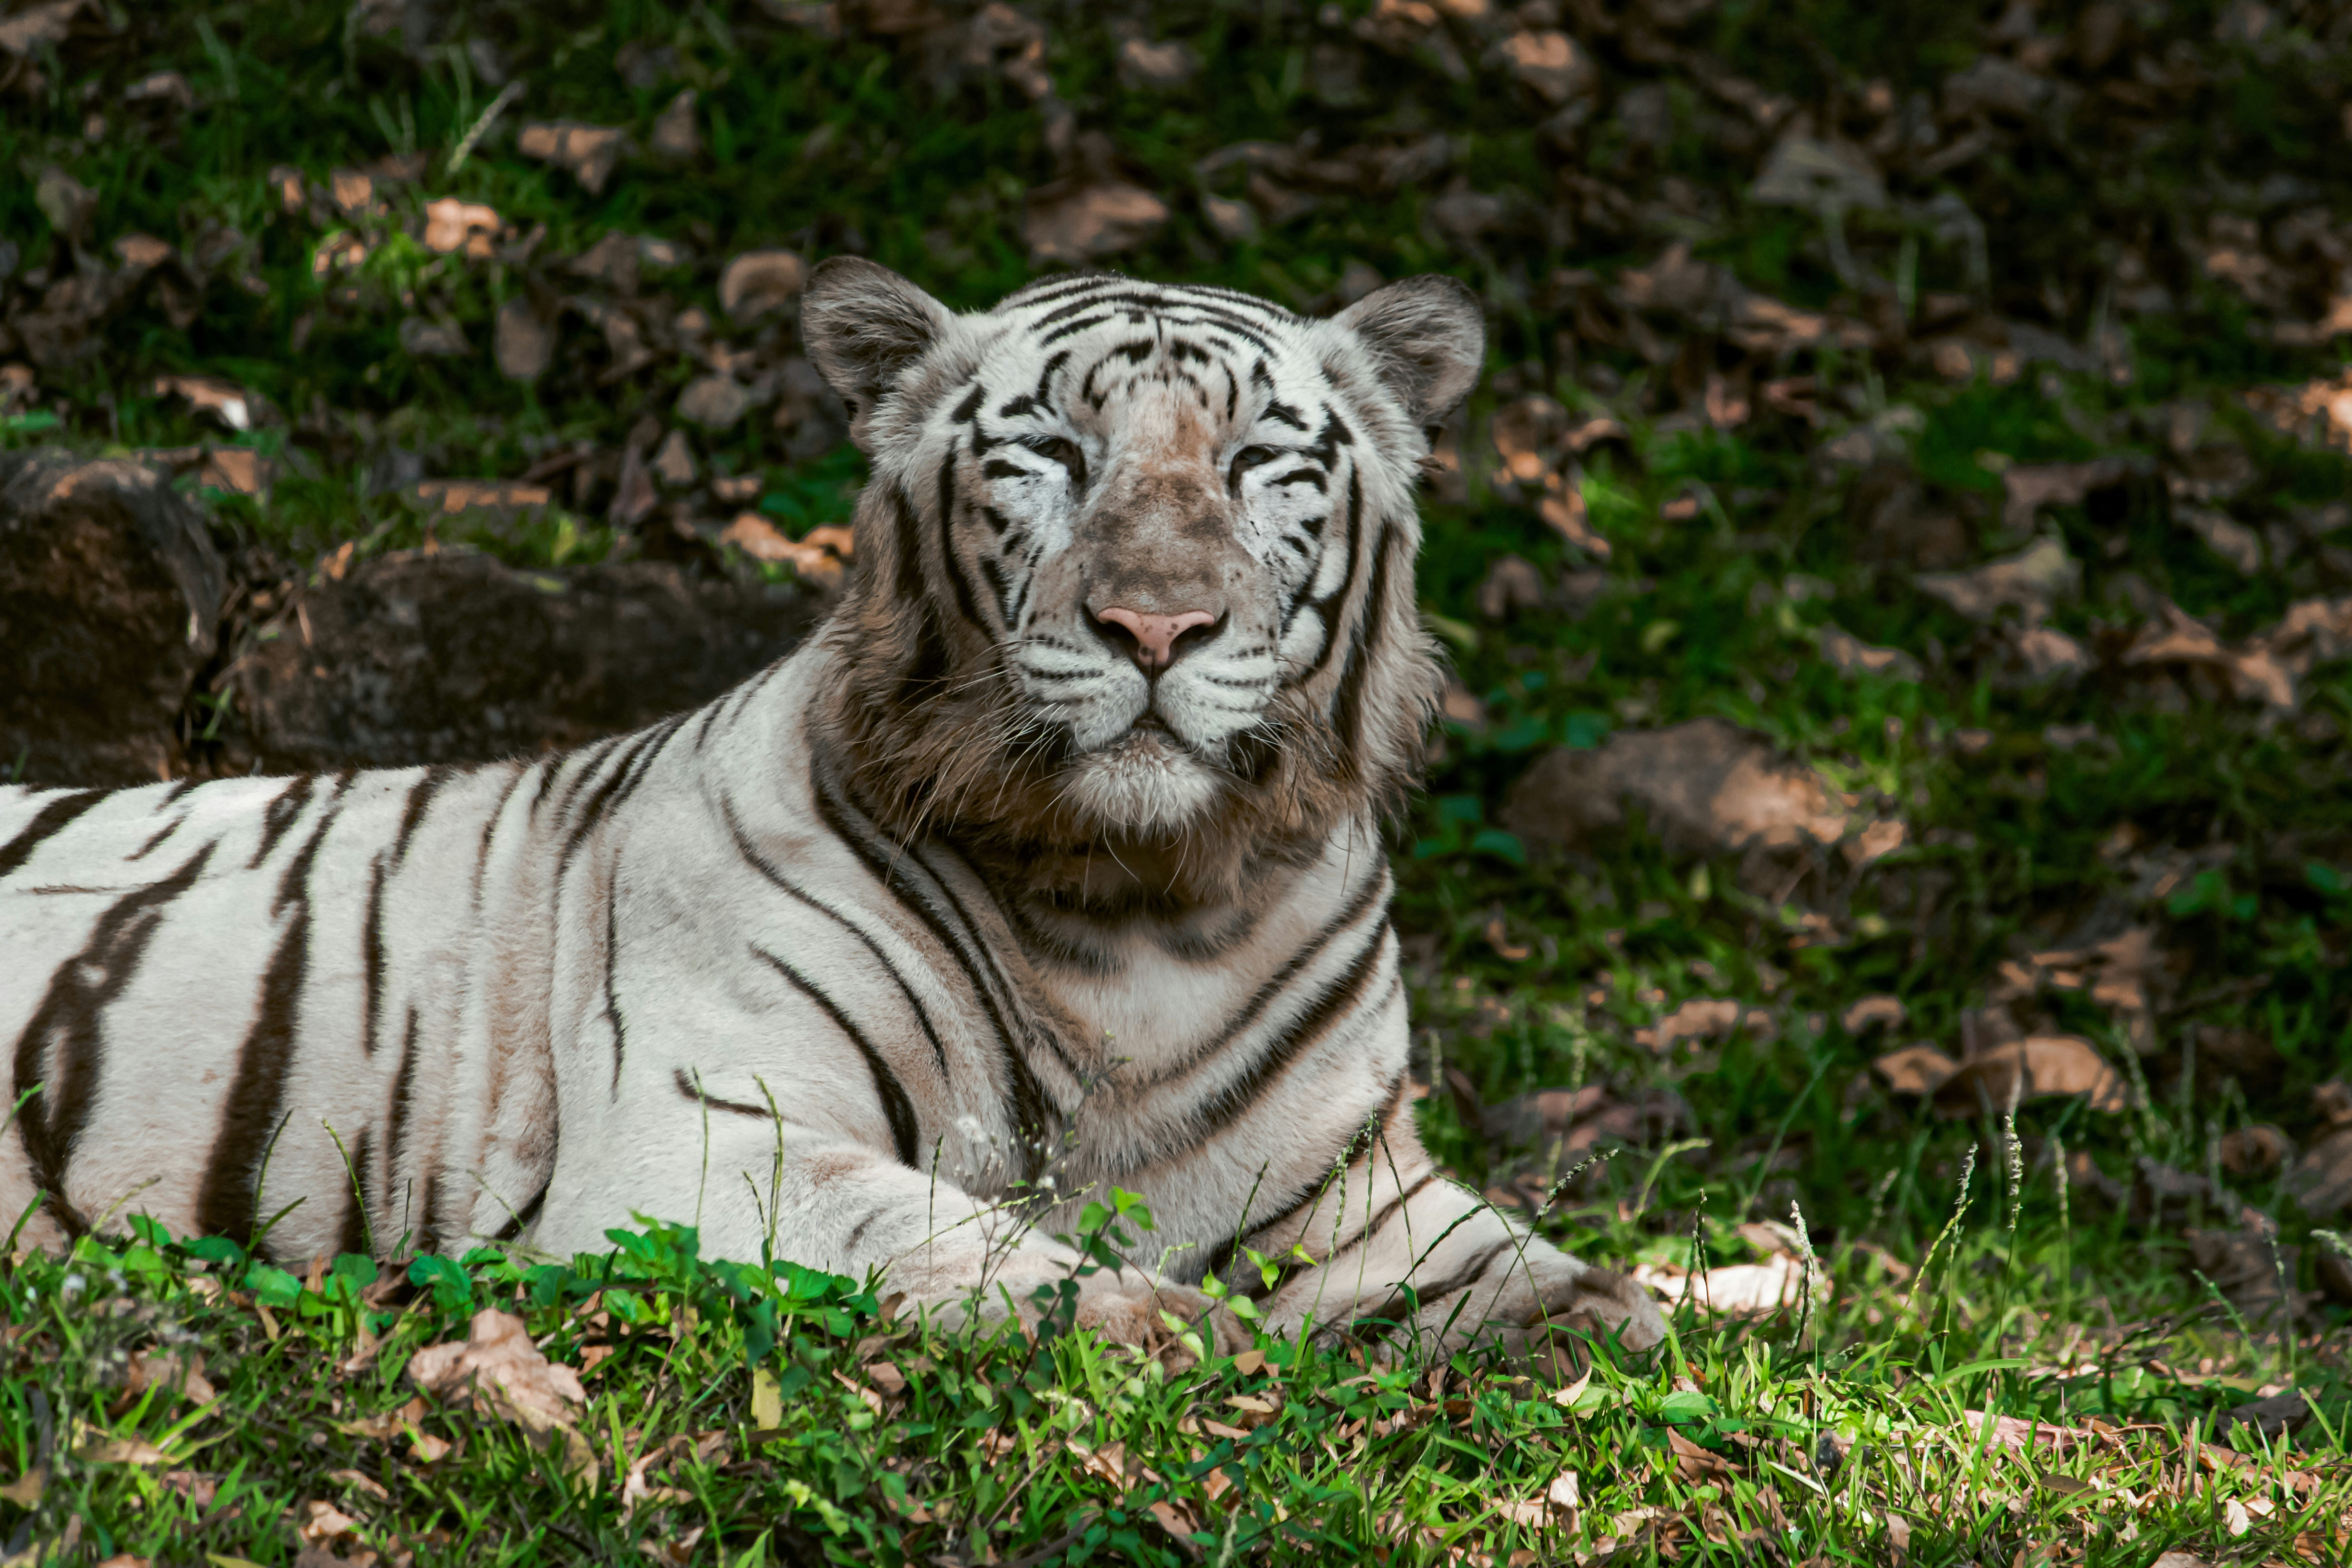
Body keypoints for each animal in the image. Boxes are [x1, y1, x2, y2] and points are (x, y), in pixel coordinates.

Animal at [1, 261, 1667, 1370]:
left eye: (1260, 462)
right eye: (1053, 455)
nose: (1155, 624)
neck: (1141, 904)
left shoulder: (1354, 1185)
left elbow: (1521, 1273)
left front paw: (1613, 1323)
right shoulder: (702, 1136)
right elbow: (968, 1242)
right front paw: (1168, 1327)